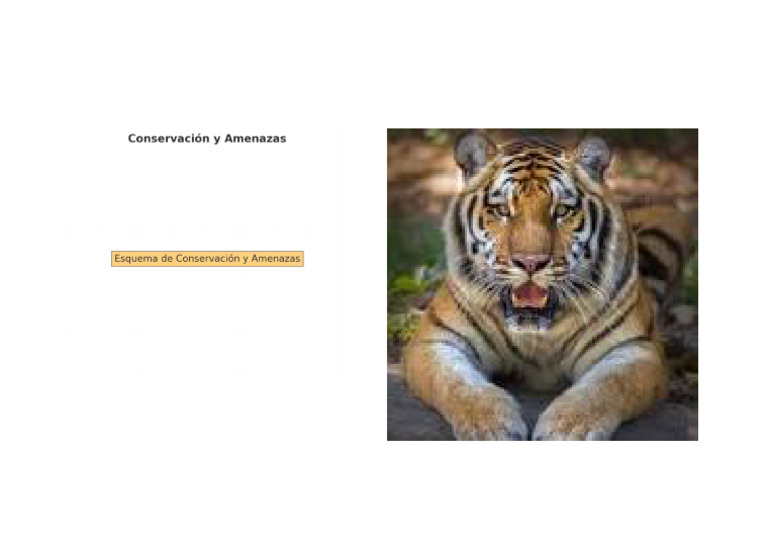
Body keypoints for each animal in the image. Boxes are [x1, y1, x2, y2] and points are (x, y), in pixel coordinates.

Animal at [403, 131, 691, 440]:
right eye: (502, 210)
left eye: (562, 211)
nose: (531, 263)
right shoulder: (437, 341)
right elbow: (460, 386)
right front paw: (491, 427)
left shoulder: (636, 349)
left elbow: (607, 387)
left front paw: (569, 429)